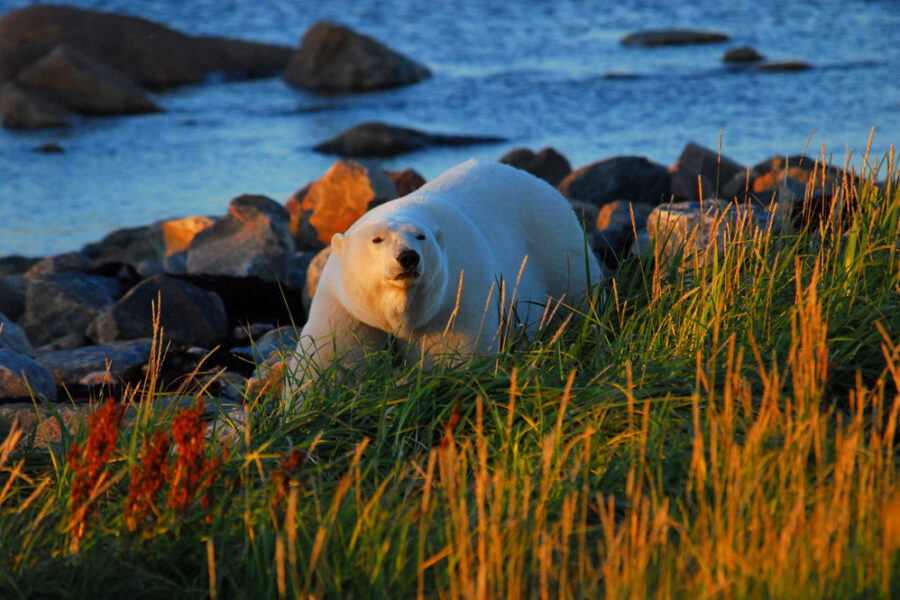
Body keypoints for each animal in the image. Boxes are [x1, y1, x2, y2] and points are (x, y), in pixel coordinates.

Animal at [283, 158, 601, 401]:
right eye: (377, 239)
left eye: (420, 236)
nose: (407, 257)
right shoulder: (345, 307)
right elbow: (326, 361)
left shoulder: (454, 297)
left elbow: (454, 356)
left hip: (556, 250)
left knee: (575, 298)